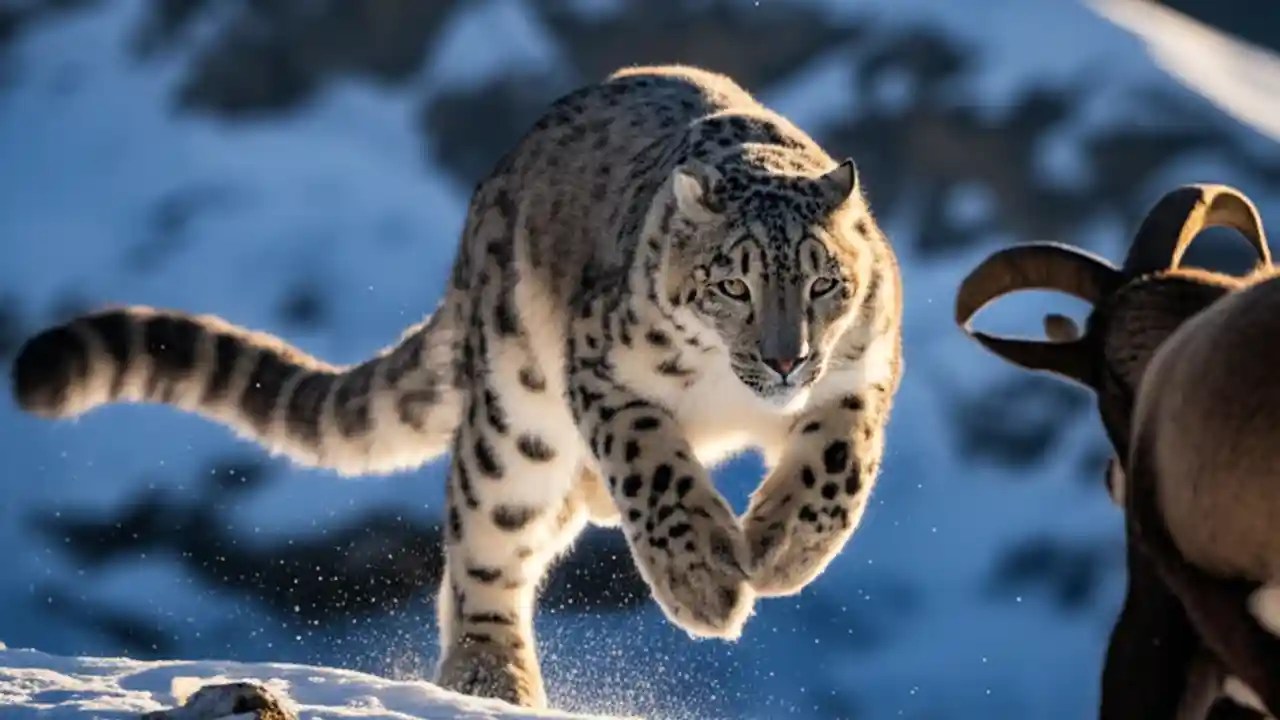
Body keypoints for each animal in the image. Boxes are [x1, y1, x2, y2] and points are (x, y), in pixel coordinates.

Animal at [10, 64, 903, 709]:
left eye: (824, 283)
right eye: (733, 284)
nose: (786, 360)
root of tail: (490, 194)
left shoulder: (860, 374)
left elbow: (838, 468)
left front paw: (782, 551)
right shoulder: (604, 374)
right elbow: (654, 468)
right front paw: (706, 582)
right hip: (518, 414)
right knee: (487, 539)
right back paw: (491, 677)